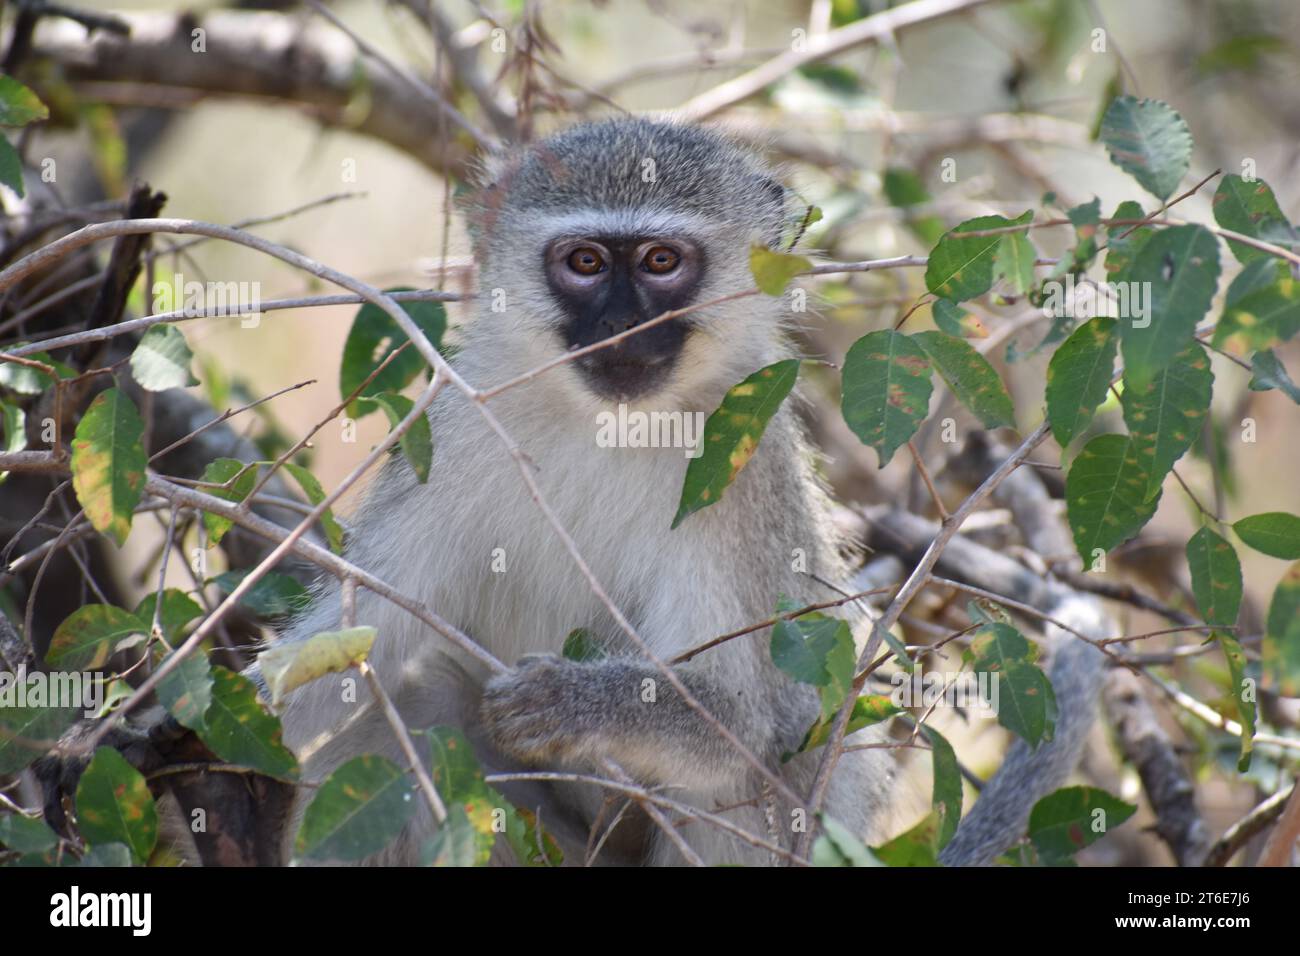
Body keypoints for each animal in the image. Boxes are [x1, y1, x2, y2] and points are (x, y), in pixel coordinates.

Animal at [267, 118, 1107, 866]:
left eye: (662, 261)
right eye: (584, 262)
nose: (619, 323)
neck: (609, 425)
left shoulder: (741, 472)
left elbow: (747, 721)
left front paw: (574, 702)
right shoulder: (458, 425)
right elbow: (353, 643)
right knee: (410, 709)